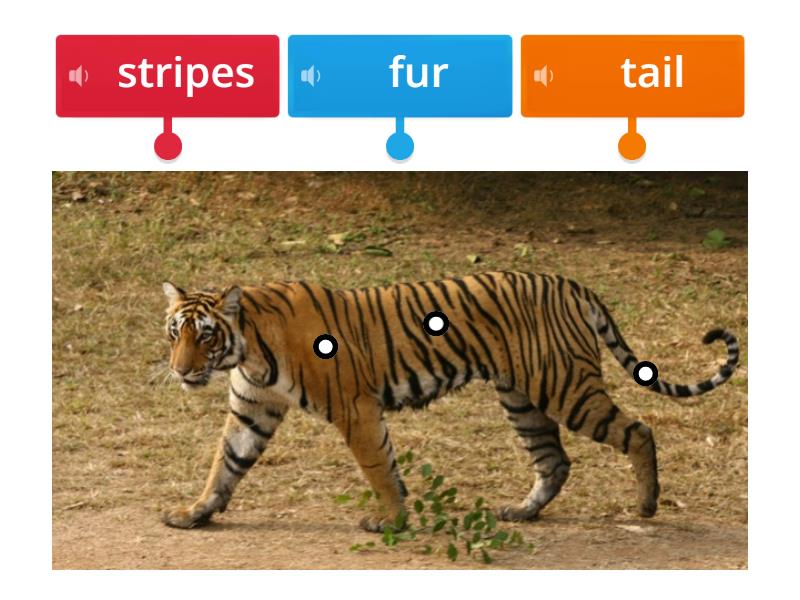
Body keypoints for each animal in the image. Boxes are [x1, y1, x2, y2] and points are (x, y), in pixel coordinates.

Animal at [160, 272, 739, 532]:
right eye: (174, 332)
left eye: (205, 335)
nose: (181, 370)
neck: (249, 349)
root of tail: (571, 283)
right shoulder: (251, 410)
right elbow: (224, 465)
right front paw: (195, 513)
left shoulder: (355, 408)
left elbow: (378, 467)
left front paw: (390, 521)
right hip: (522, 398)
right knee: (554, 461)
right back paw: (522, 511)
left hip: (567, 388)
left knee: (639, 430)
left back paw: (646, 505)